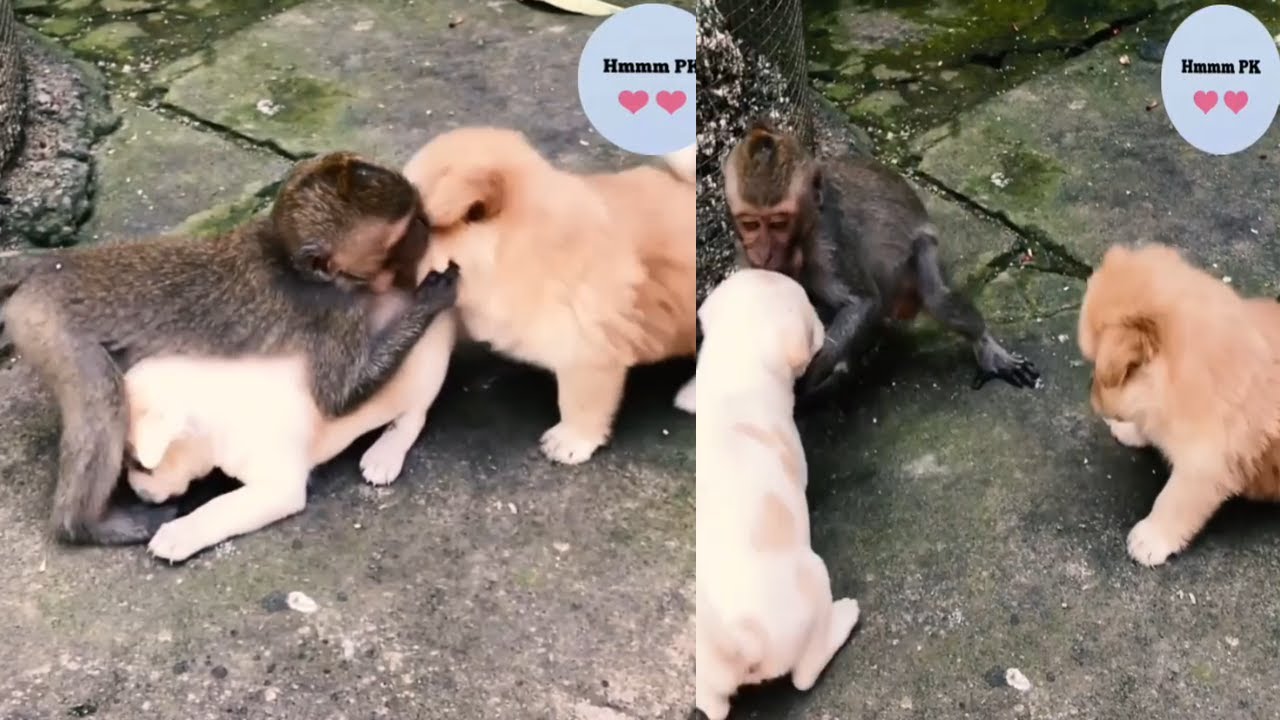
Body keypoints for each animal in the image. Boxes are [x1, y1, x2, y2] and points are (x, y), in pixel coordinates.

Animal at [0, 151, 459, 547]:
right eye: (403, 236)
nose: (427, 230)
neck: (279, 251)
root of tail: (54, 265)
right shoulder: (337, 312)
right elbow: (337, 399)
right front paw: (429, 298)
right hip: (49, 327)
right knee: (102, 398)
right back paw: (81, 526)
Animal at [721, 119, 1040, 396]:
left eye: (778, 224)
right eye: (750, 224)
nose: (764, 253)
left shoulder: (829, 241)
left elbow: (862, 302)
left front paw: (806, 379)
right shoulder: (743, 251)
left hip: (923, 248)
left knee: (937, 297)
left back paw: (986, 347)